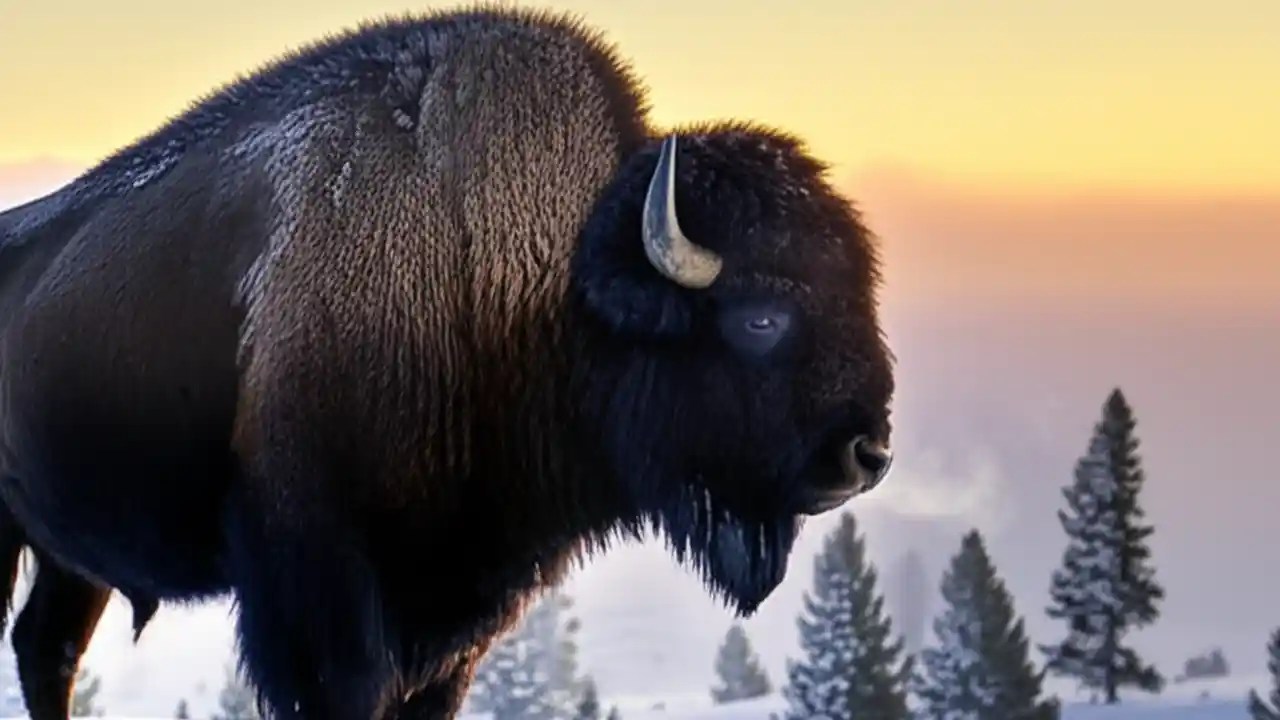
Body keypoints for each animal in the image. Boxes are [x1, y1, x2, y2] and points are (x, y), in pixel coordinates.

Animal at [0, 6, 896, 719]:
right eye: (762, 316)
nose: (869, 453)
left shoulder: (459, 610)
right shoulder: (319, 588)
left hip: (68, 556)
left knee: (47, 647)